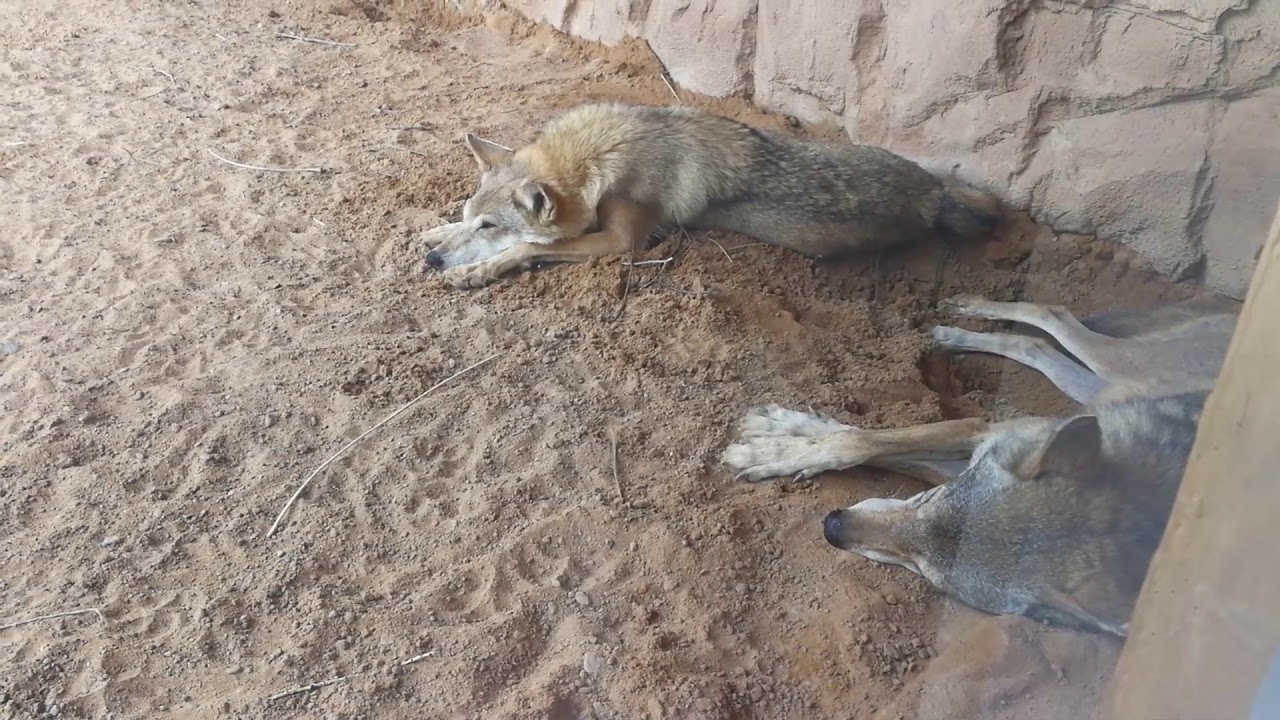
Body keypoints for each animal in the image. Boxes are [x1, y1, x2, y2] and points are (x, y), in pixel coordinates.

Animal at [420, 102, 1001, 288]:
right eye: (471, 217)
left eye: (490, 227)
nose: (433, 263)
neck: (599, 156)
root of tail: (933, 192)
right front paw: (432, 234)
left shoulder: (622, 242)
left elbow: (529, 246)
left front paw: (476, 270)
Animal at [720, 294, 1239, 636]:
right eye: (929, 501)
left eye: (927, 572)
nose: (831, 525)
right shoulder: (985, 431)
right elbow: (861, 439)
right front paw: (777, 438)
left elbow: (861, 443)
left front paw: (775, 448)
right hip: (1108, 375)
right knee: (1052, 322)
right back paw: (959, 321)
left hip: (1105, 383)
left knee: (1043, 343)